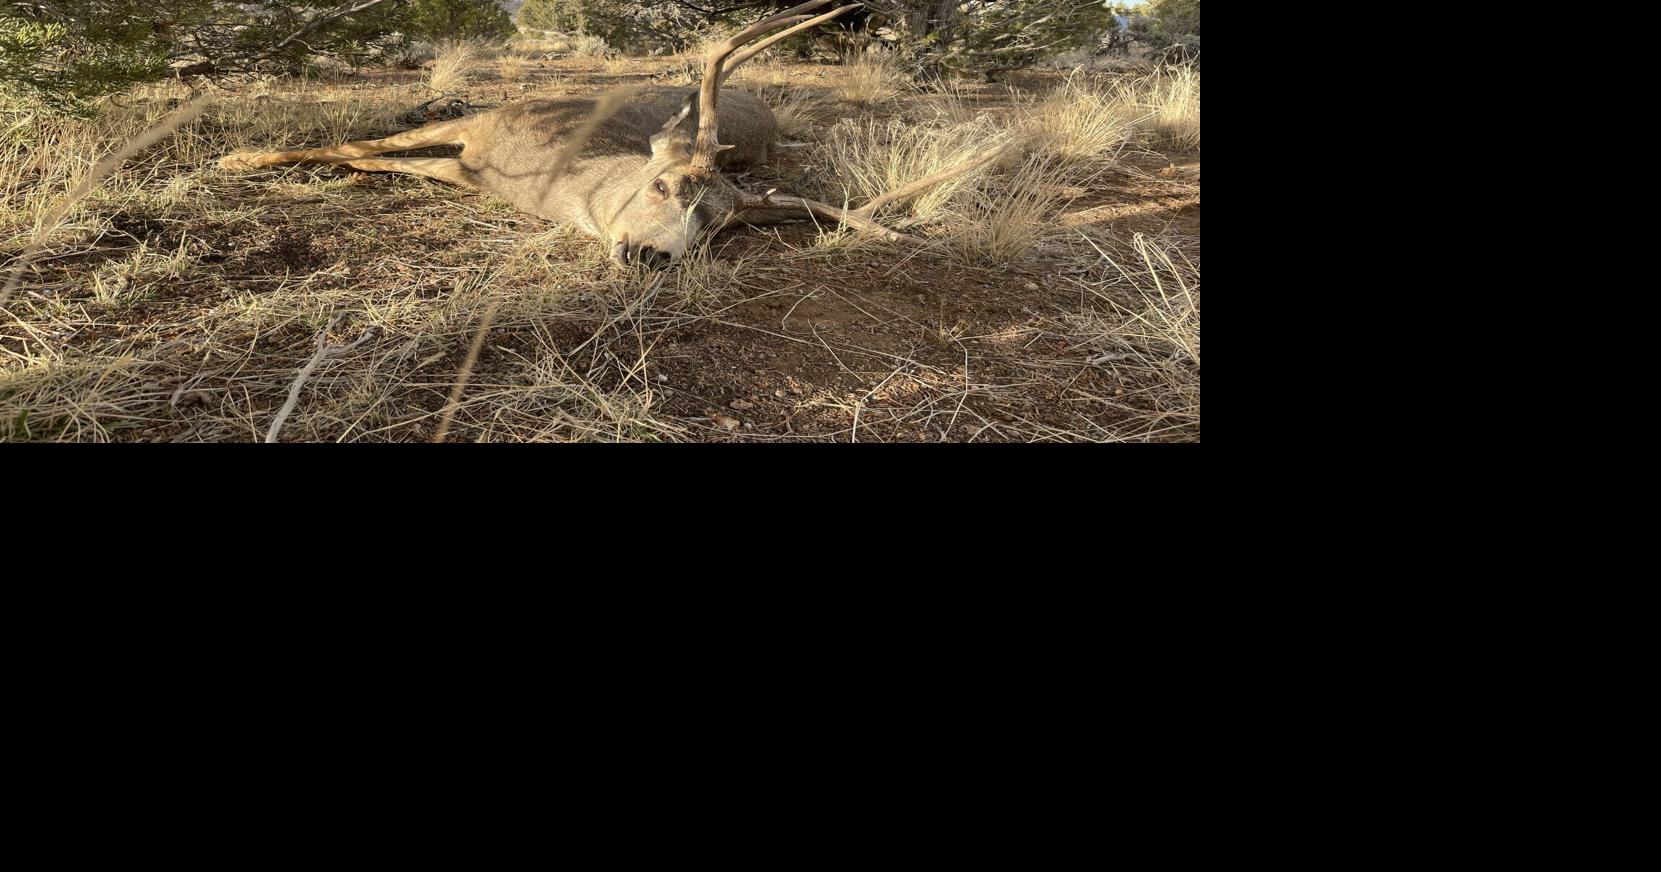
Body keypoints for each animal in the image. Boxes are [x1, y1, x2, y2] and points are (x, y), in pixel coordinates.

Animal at [217, 1, 999, 268]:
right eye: (661, 184)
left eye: (719, 227)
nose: (654, 255)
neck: (549, 174)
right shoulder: (478, 125)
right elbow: (355, 147)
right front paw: (237, 158)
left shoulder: (468, 171)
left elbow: (375, 163)